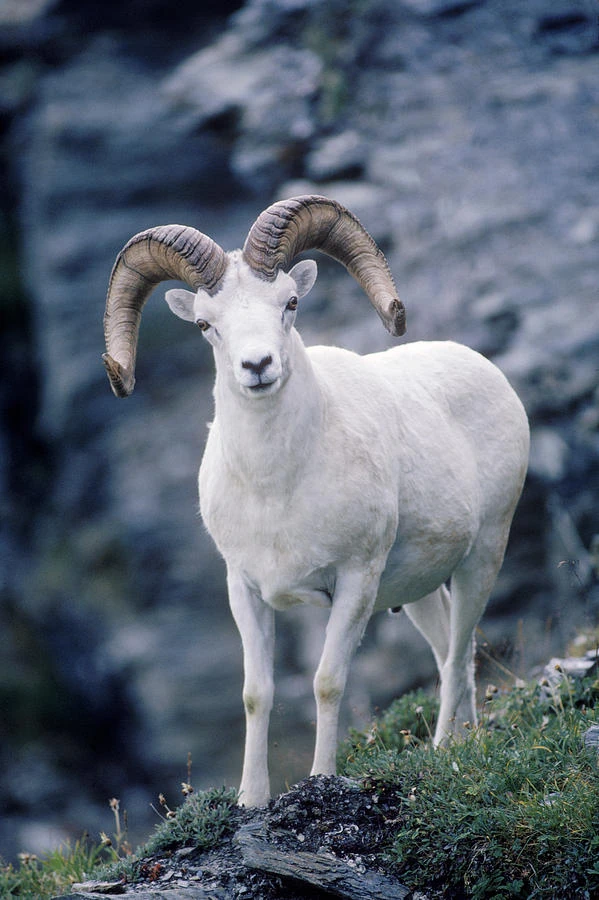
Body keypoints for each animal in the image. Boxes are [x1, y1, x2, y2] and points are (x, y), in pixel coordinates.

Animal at [102, 194, 529, 808]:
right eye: (207, 324)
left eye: (290, 303)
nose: (258, 366)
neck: (277, 490)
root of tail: (487, 371)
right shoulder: (245, 590)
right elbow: (256, 693)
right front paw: (250, 800)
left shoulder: (354, 581)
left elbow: (328, 683)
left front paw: (323, 779)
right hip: (419, 592)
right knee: (452, 647)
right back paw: (466, 740)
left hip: (483, 557)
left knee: (456, 654)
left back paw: (447, 748)